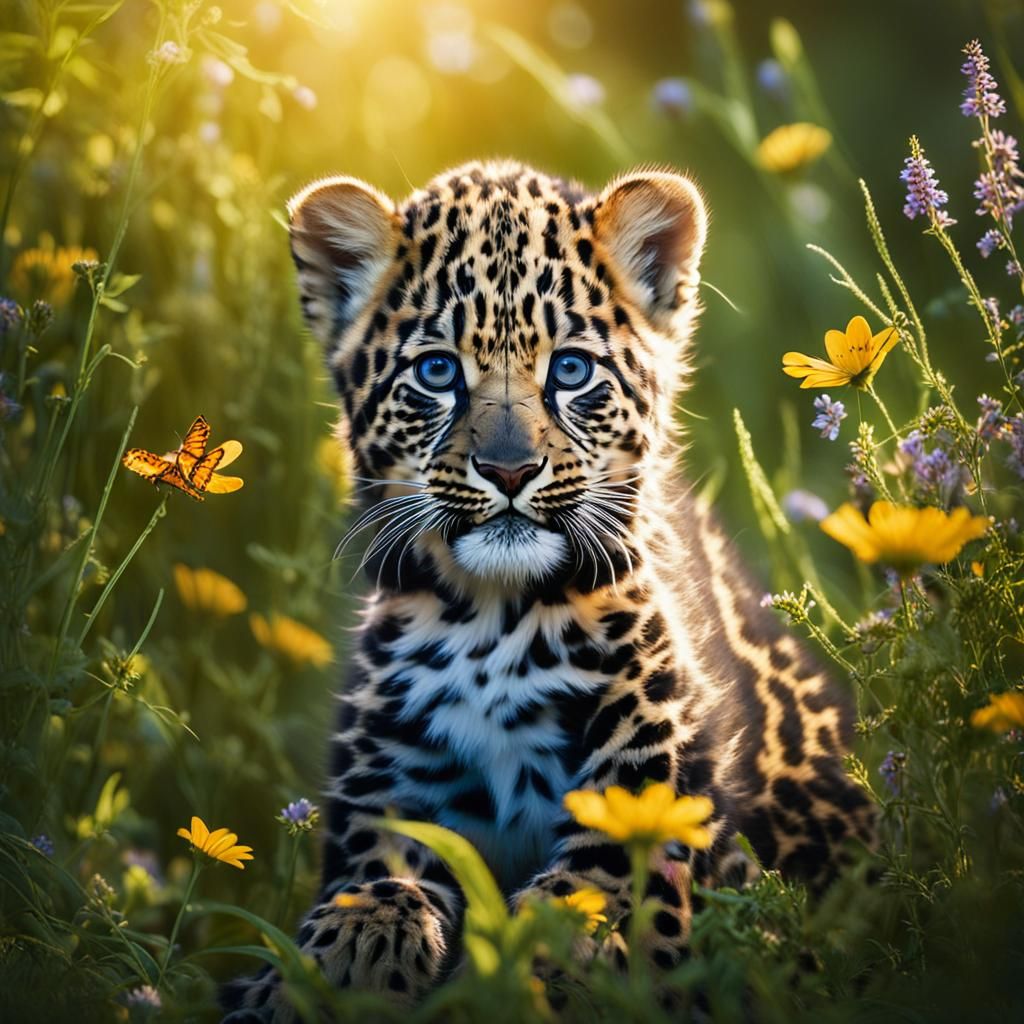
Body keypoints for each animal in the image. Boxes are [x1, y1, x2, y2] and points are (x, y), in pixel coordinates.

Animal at [221, 160, 875, 1021]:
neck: (493, 623)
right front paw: (333, 963)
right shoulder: (389, 797)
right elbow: (371, 895)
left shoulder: (641, 802)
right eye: (438, 372)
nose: (508, 471)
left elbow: (572, 913)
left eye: (570, 369)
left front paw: (510, 977)